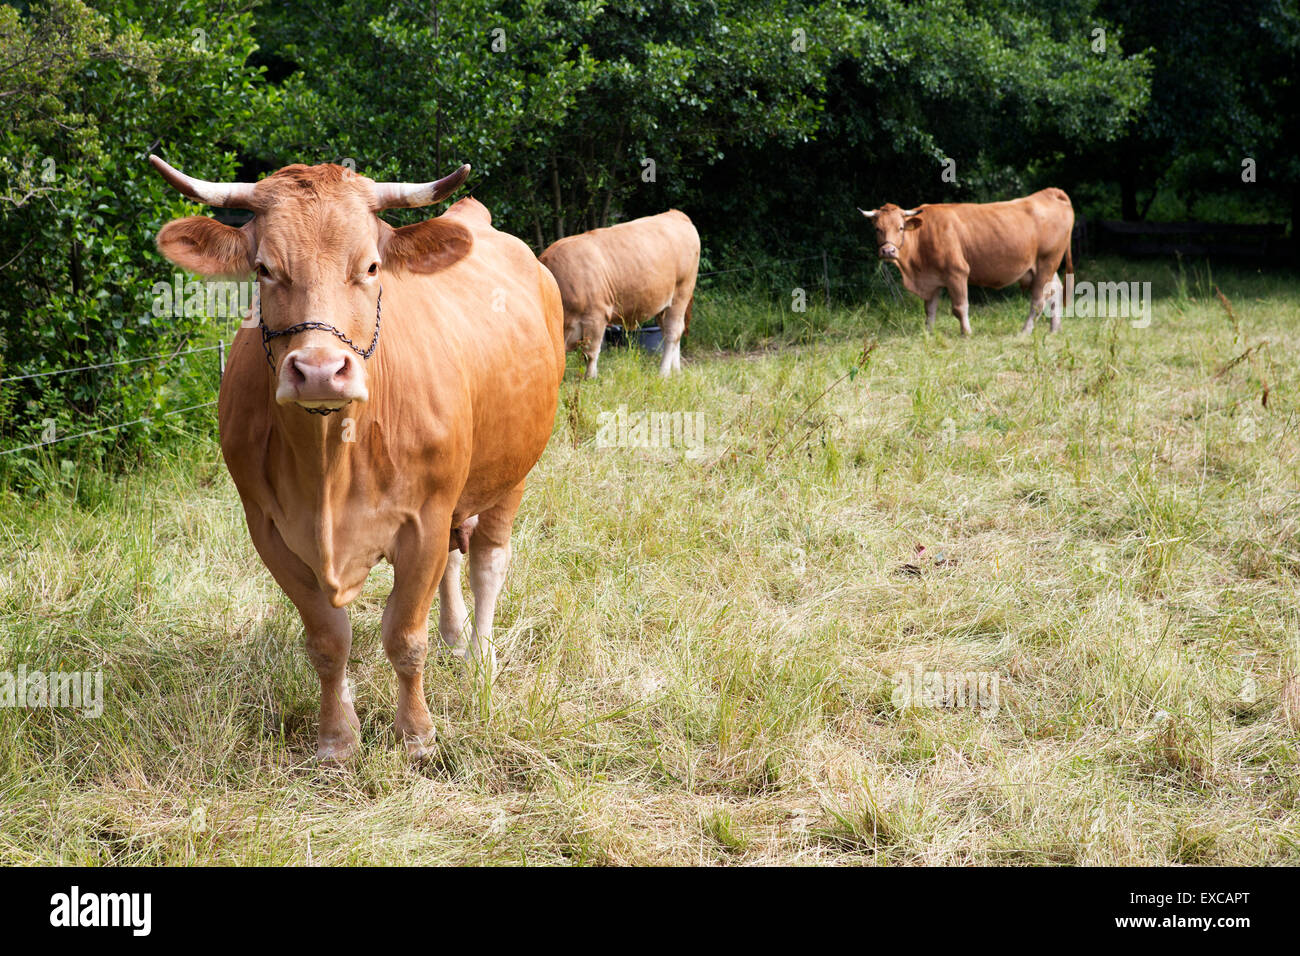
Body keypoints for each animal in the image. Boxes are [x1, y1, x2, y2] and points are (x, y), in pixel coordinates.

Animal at [150, 155, 565, 761]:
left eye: (370, 267)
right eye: (265, 268)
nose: (320, 371)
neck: (330, 463)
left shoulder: (423, 520)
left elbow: (405, 635)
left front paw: (416, 735)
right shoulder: (269, 529)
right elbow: (328, 639)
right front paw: (337, 736)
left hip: (512, 472)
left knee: (488, 561)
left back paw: (482, 659)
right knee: (456, 559)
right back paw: (454, 637)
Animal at [539, 210, 700, 378]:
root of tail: (675, 213)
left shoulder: (595, 316)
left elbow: (590, 353)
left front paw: (590, 378)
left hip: (681, 293)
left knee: (672, 333)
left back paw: (663, 372)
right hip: (664, 304)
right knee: (671, 332)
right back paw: (676, 370)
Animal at [859, 189, 1075, 335]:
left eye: (901, 227)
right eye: (878, 228)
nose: (888, 251)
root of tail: (1049, 193)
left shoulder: (957, 272)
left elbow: (960, 307)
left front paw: (966, 333)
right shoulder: (931, 278)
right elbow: (929, 309)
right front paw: (929, 333)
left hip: (1047, 262)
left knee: (1038, 301)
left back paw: (1025, 331)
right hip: (1043, 268)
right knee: (1055, 290)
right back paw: (1054, 328)